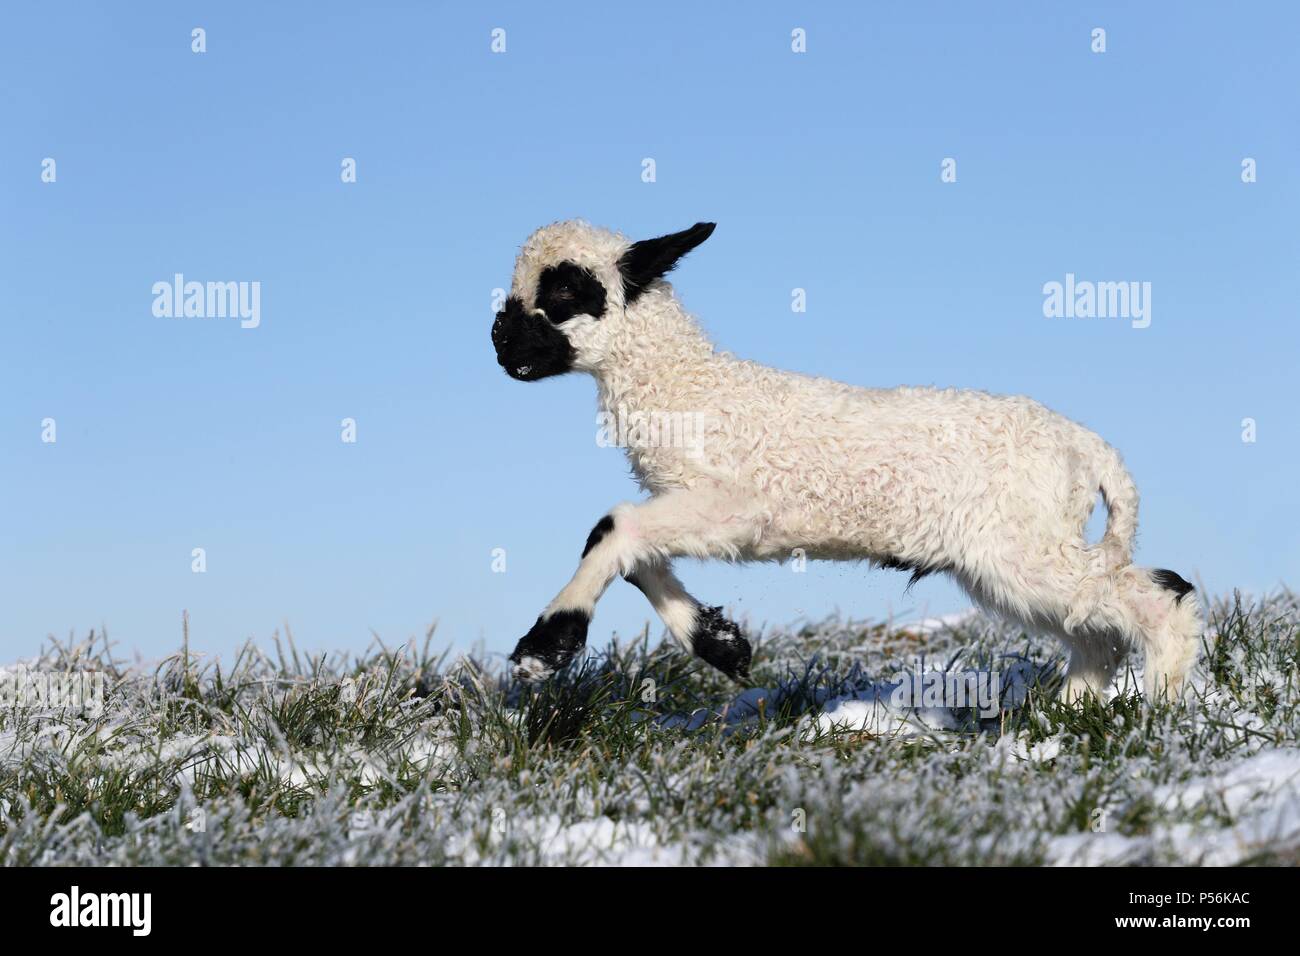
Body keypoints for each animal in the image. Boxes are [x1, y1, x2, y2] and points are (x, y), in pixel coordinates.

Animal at [490, 220, 1203, 700]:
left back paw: (1159, 713)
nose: (499, 345)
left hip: (1019, 544)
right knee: (1096, 629)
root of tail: (1087, 446)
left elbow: (614, 527)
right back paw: (1068, 714)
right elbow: (638, 556)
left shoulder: (736, 508)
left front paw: (542, 650)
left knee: (1159, 597)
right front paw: (723, 646)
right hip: (1011, 556)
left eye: (564, 293)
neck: (688, 386)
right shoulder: (695, 504)